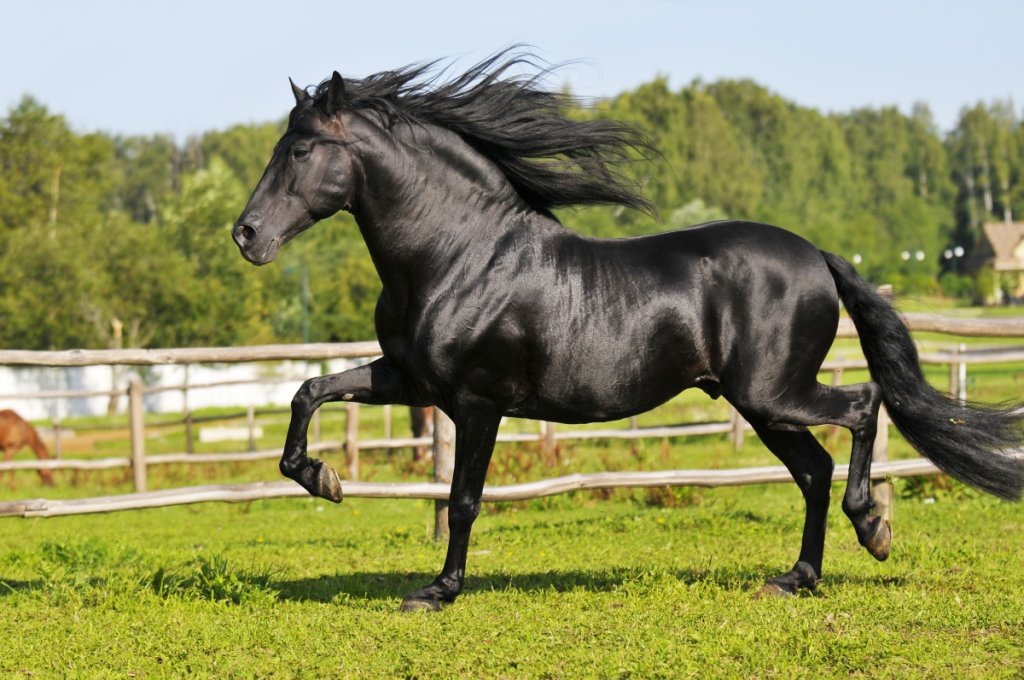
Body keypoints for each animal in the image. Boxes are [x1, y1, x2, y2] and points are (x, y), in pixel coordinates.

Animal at [232, 50, 1024, 610]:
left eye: (298, 151)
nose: (245, 235)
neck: (458, 254)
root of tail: (817, 256)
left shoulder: (478, 403)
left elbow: (461, 501)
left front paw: (437, 592)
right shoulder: (411, 381)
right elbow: (310, 390)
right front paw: (324, 480)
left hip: (773, 392)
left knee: (861, 409)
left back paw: (874, 529)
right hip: (758, 403)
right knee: (813, 468)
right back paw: (796, 578)